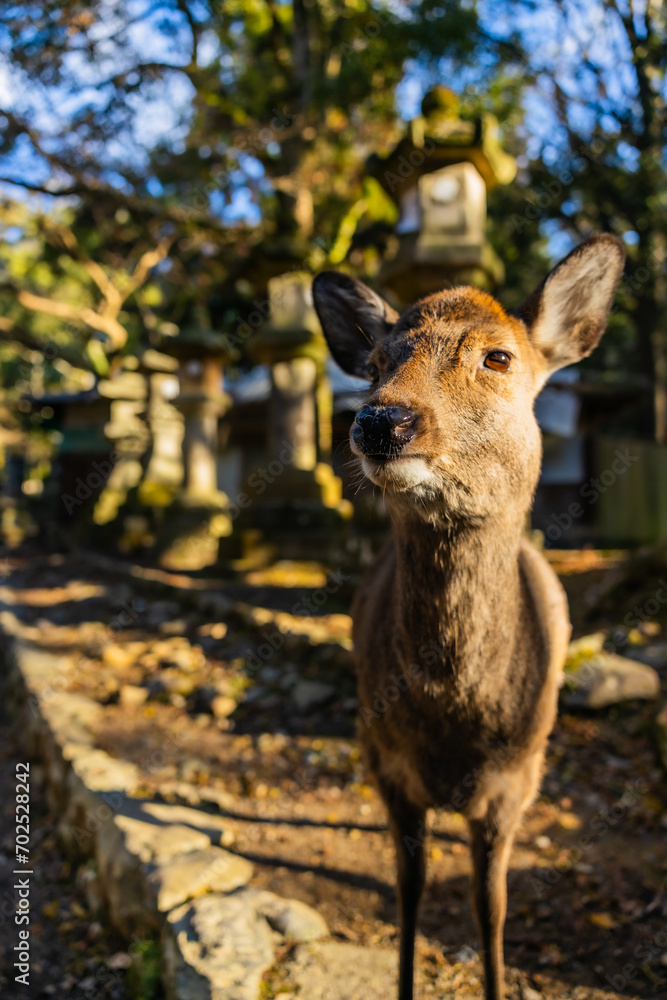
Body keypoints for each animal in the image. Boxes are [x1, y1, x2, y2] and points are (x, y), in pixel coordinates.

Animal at [312, 235, 625, 1000]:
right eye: (373, 365)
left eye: (498, 357)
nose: (382, 421)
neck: (454, 727)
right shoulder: (384, 761)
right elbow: (409, 893)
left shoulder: (517, 780)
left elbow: (491, 907)